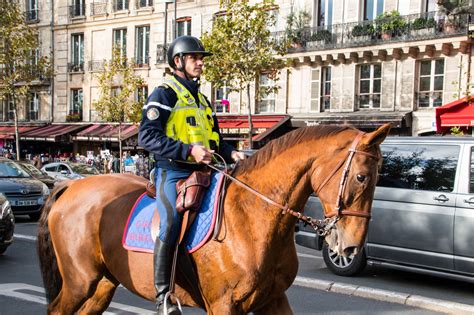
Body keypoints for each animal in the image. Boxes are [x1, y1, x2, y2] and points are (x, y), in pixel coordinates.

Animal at [38, 124, 388, 314]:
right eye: (361, 177)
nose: (351, 247)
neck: (251, 218)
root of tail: (72, 185)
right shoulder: (223, 305)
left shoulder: (272, 299)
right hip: (79, 282)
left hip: (102, 284)